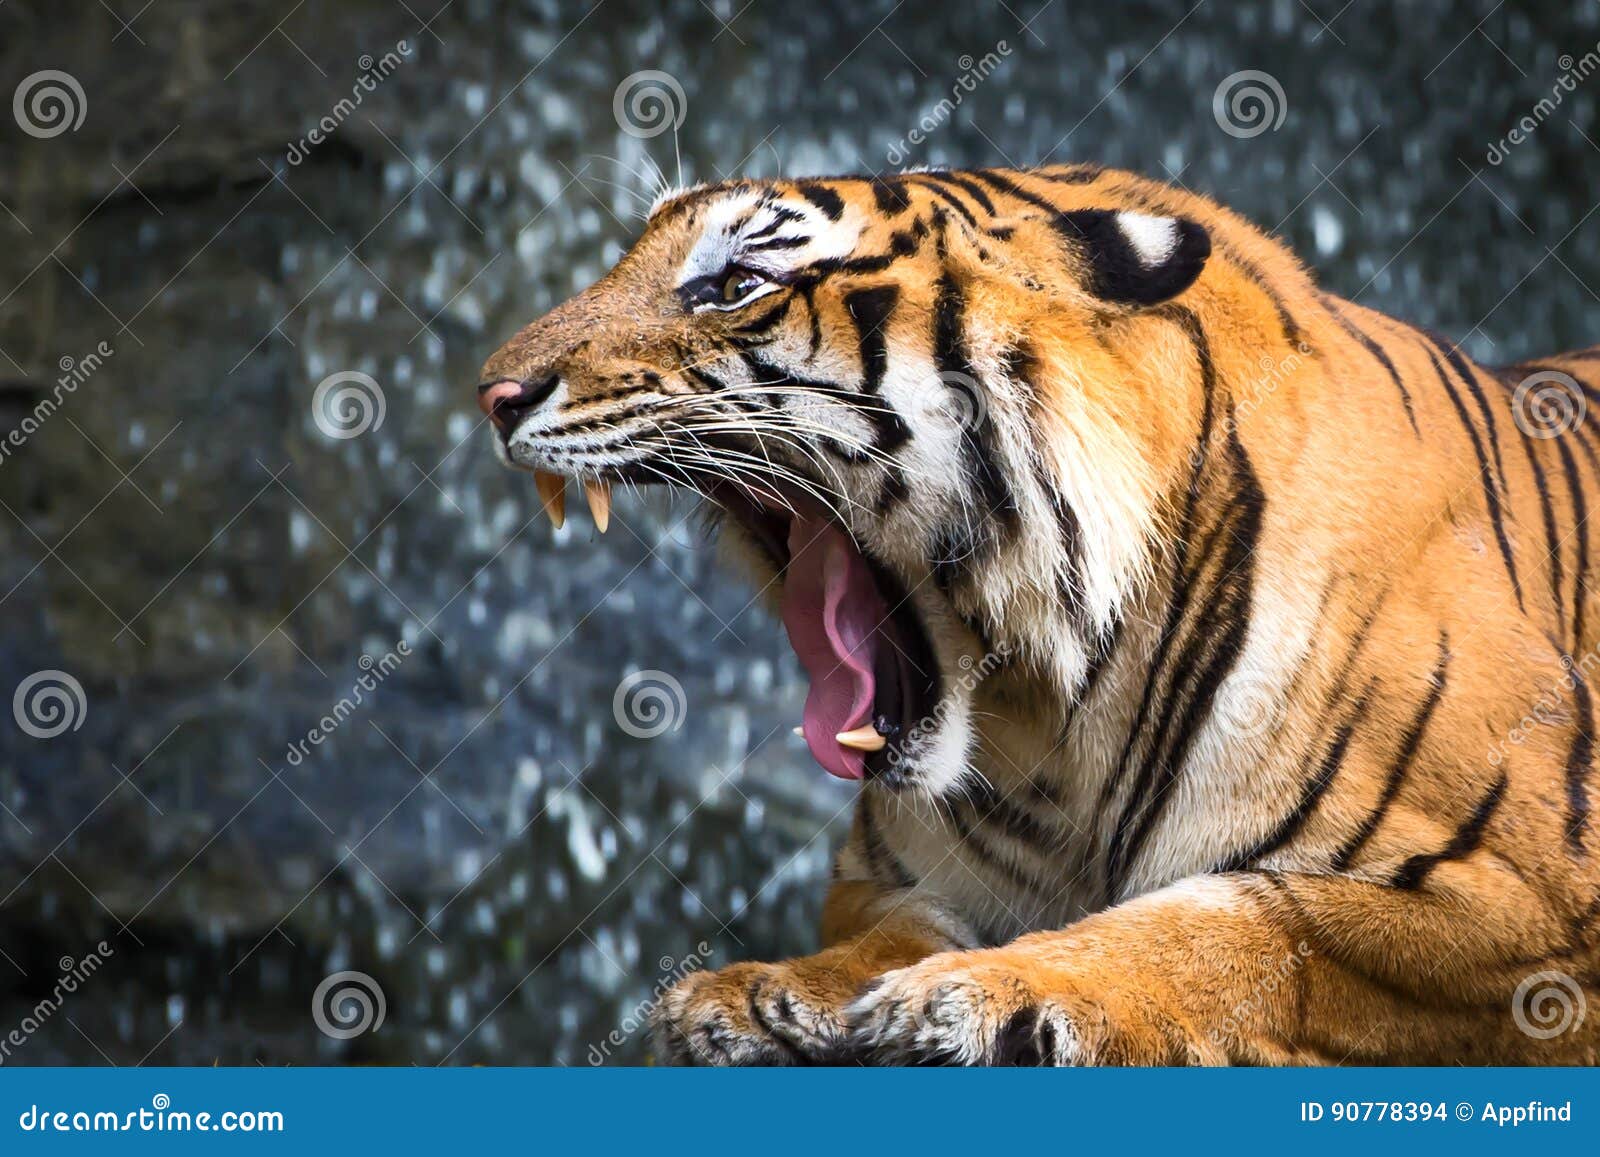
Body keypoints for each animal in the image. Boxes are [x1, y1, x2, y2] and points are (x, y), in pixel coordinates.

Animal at [476, 163, 1600, 1065]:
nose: (493, 393)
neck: (1059, 709)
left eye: (737, 284)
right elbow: (895, 924)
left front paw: (994, 995)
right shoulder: (880, 869)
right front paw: (762, 995)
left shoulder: (1528, 912)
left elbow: (1242, 926)